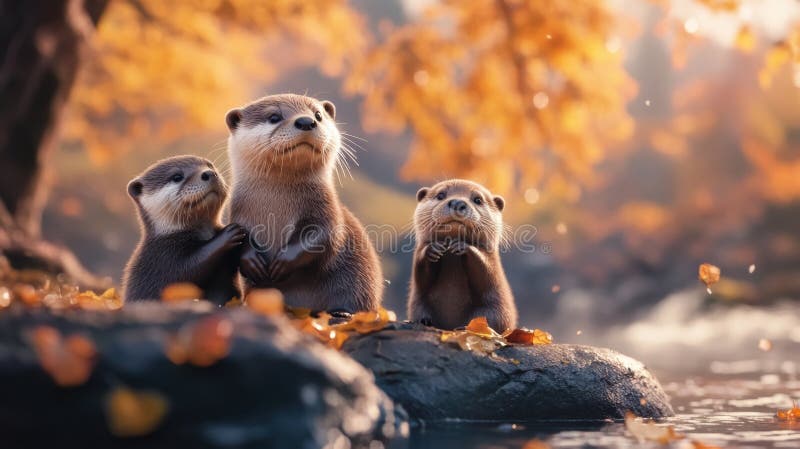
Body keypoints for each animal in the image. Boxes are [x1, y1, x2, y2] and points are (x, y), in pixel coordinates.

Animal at [123, 155, 246, 304]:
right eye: (177, 176)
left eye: (210, 166)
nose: (209, 173)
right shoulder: (163, 259)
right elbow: (187, 271)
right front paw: (228, 234)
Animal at [225, 94, 382, 314]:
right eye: (274, 117)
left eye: (318, 114)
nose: (306, 121)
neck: (275, 205)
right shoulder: (237, 212)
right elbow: (240, 236)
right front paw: (253, 261)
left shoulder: (325, 209)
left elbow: (323, 237)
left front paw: (282, 262)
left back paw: (341, 311)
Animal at [407, 179, 517, 331]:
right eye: (440, 195)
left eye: (477, 199)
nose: (457, 202)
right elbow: (421, 275)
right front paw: (434, 248)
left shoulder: (493, 275)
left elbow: (486, 271)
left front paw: (462, 246)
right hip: (418, 306)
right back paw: (424, 321)